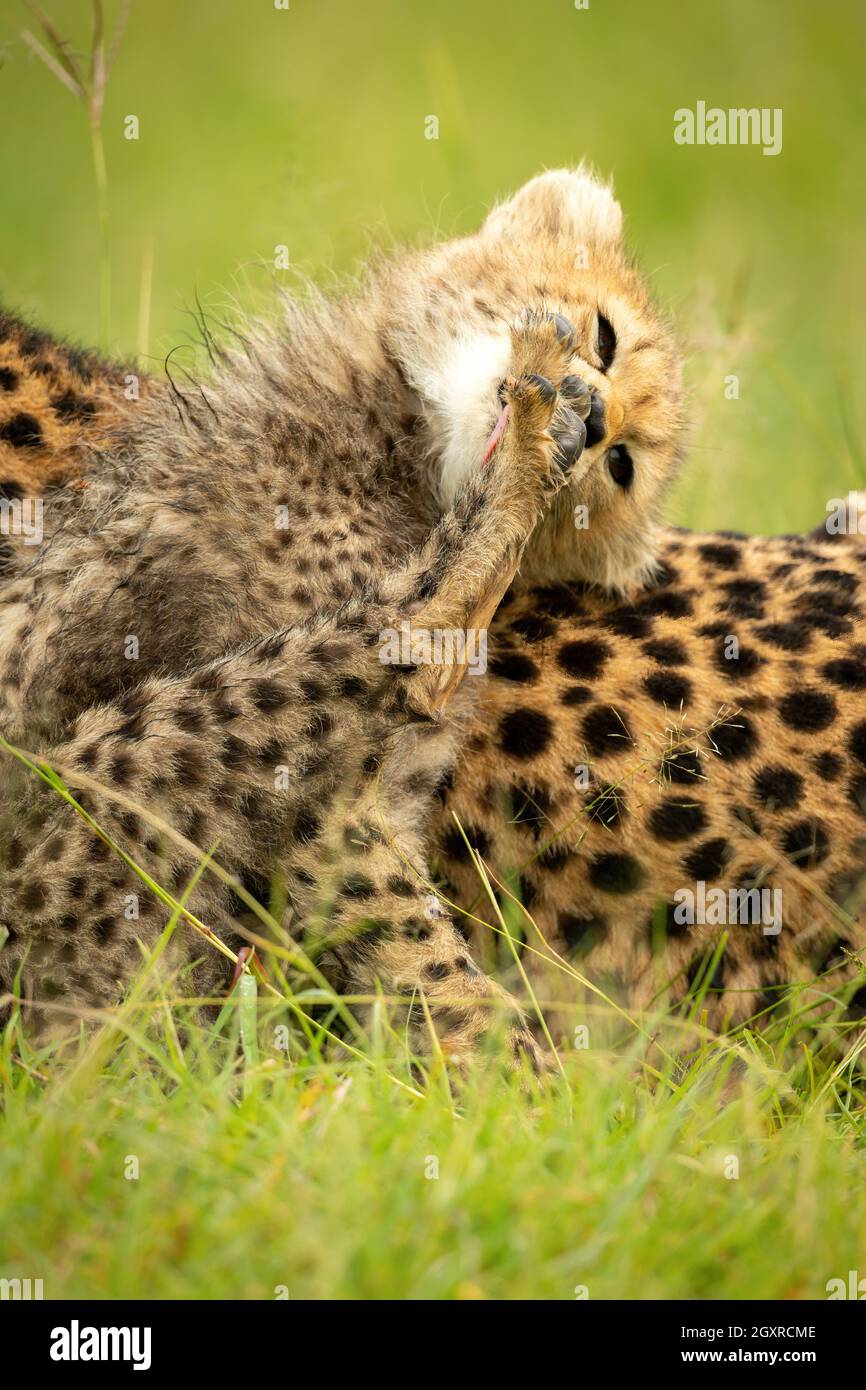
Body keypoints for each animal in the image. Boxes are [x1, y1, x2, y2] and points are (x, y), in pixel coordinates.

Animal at [0, 167, 685, 1069]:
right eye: (605, 337)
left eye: (621, 468)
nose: (597, 419)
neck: (408, 460)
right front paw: (518, 1080)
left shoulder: (358, 803)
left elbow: (411, 944)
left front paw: (510, 1081)